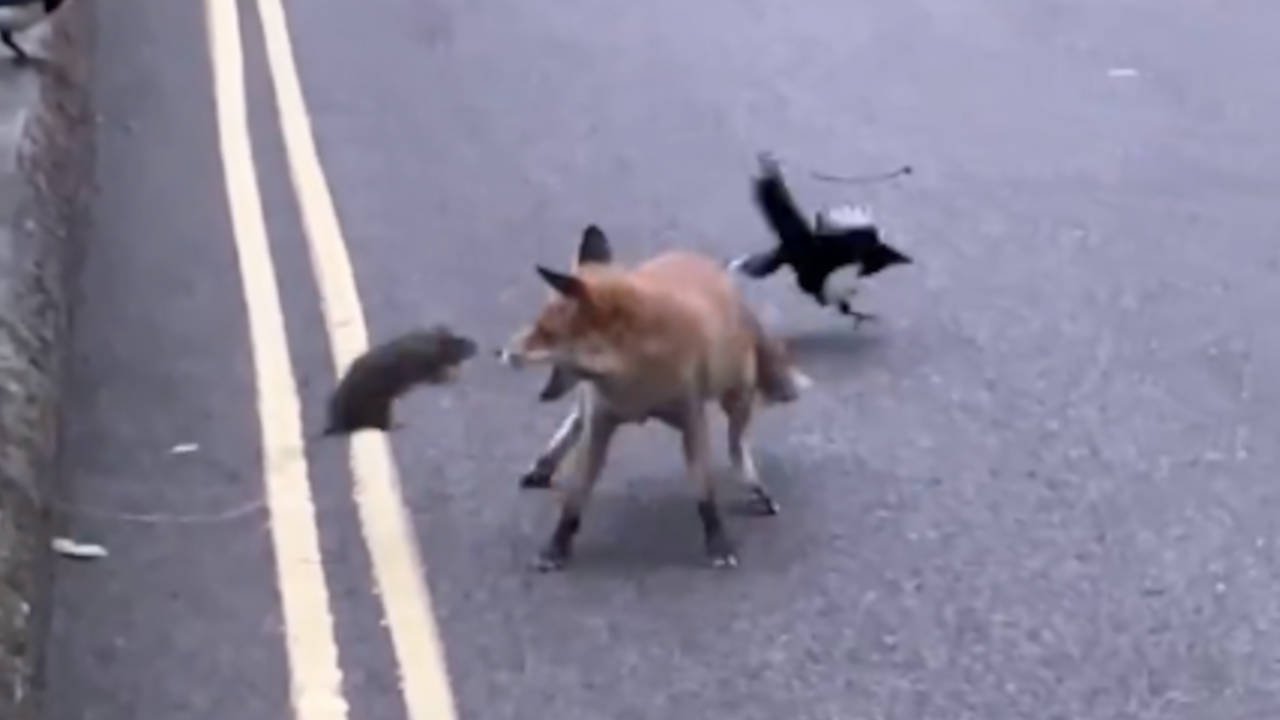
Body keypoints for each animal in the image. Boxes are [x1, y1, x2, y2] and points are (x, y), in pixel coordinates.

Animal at [499, 224, 811, 571]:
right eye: (536, 326)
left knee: (736, 444)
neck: (633, 379)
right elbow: (574, 497)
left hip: (735, 395)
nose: (500, 352)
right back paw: (544, 465)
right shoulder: (600, 420)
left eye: (545, 332)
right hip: (588, 402)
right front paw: (556, 546)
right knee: (574, 422)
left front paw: (718, 542)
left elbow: (705, 492)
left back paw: (754, 485)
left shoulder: (691, 419)